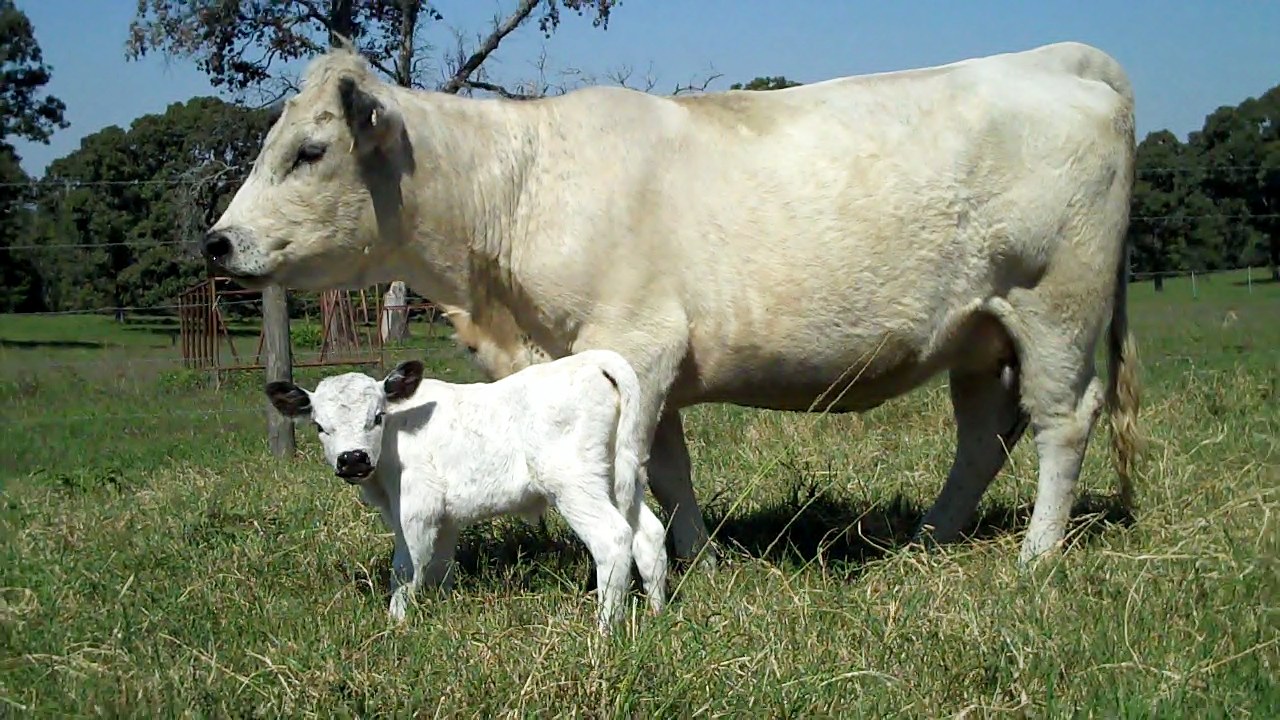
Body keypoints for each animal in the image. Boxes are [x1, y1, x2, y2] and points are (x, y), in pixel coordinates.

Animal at [204, 40, 1142, 568]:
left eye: (310, 150)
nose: (217, 242)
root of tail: (1062, 60)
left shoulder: (638, 342)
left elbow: (634, 468)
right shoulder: (635, 360)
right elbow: (670, 467)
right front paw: (702, 557)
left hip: (1054, 307)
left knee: (1063, 422)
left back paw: (1035, 557)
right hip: (979, 334)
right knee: (984, 438)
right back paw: (929, 541)